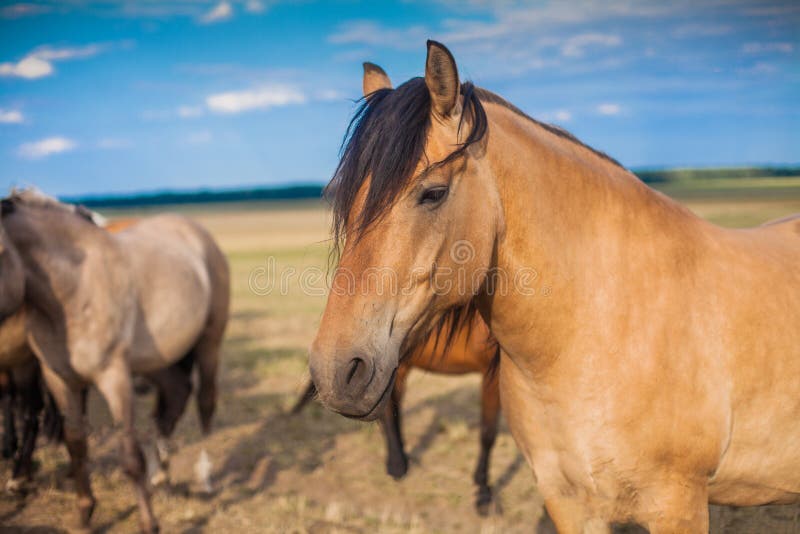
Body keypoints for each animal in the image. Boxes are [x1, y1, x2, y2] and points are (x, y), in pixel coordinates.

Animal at [0, 190, 229, 532]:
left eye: (0, 253)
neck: (73, 291)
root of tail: (194, 229)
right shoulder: (59, 379)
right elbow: (76, 444)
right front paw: (84, 513)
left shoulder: (114, 375)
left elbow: (129, 456)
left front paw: (149, 523)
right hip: (158, 361)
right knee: (174, 399)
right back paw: (161, 476)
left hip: (209, 344)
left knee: (205, 405)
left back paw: (204, 476)